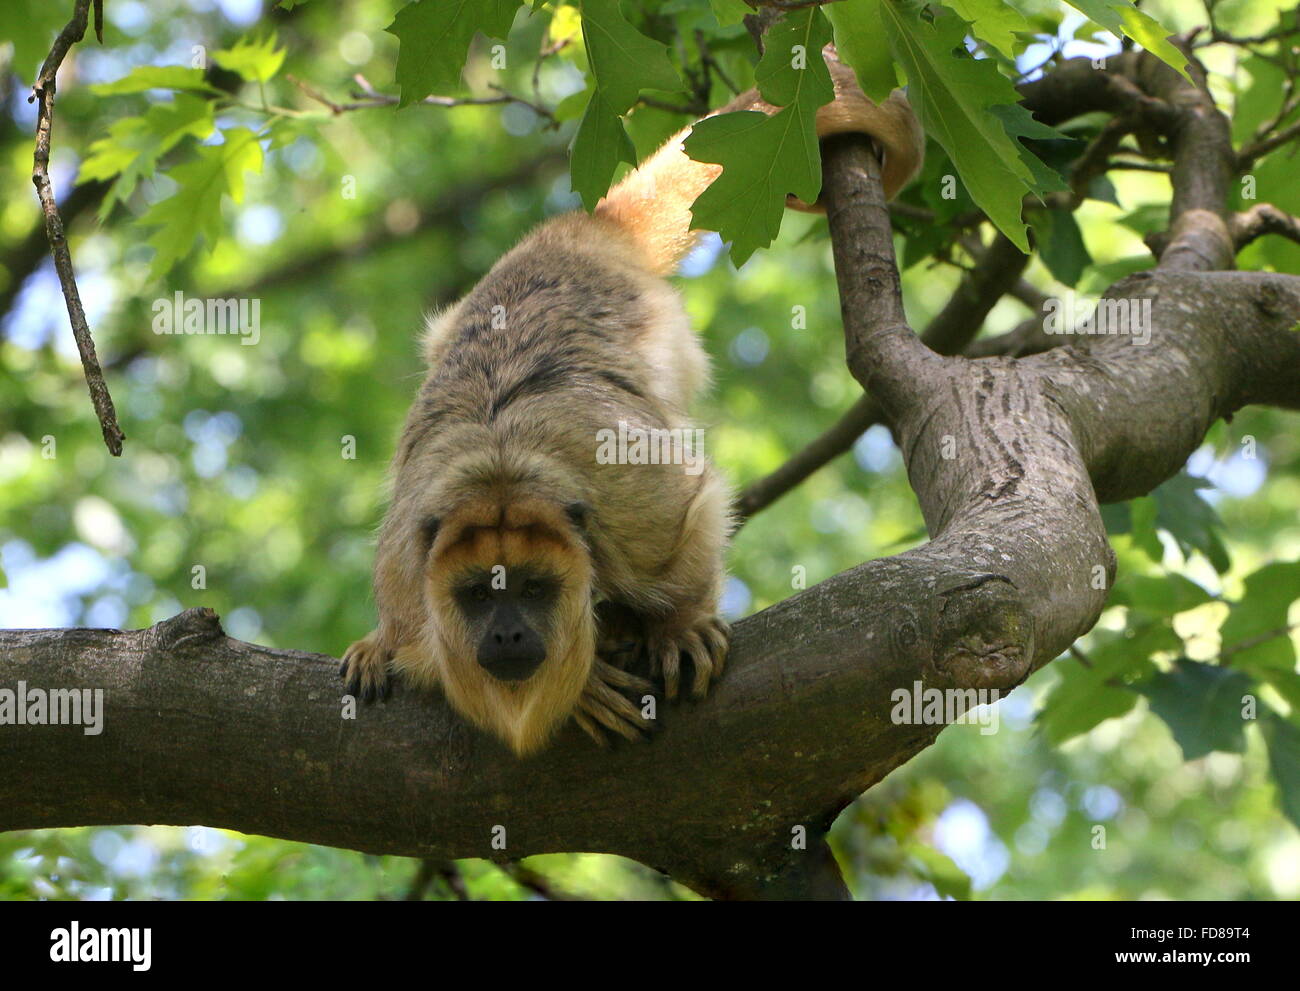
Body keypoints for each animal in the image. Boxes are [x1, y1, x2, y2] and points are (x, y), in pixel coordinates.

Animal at [341, 47, 924, 757]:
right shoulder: (405, 571)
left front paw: (677, 626)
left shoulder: (631, 503)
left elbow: (693, 509)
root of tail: (579, 232)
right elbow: (405, 626)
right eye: (479, 595)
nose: (506, 632)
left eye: (532, 589)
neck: (502, 473)